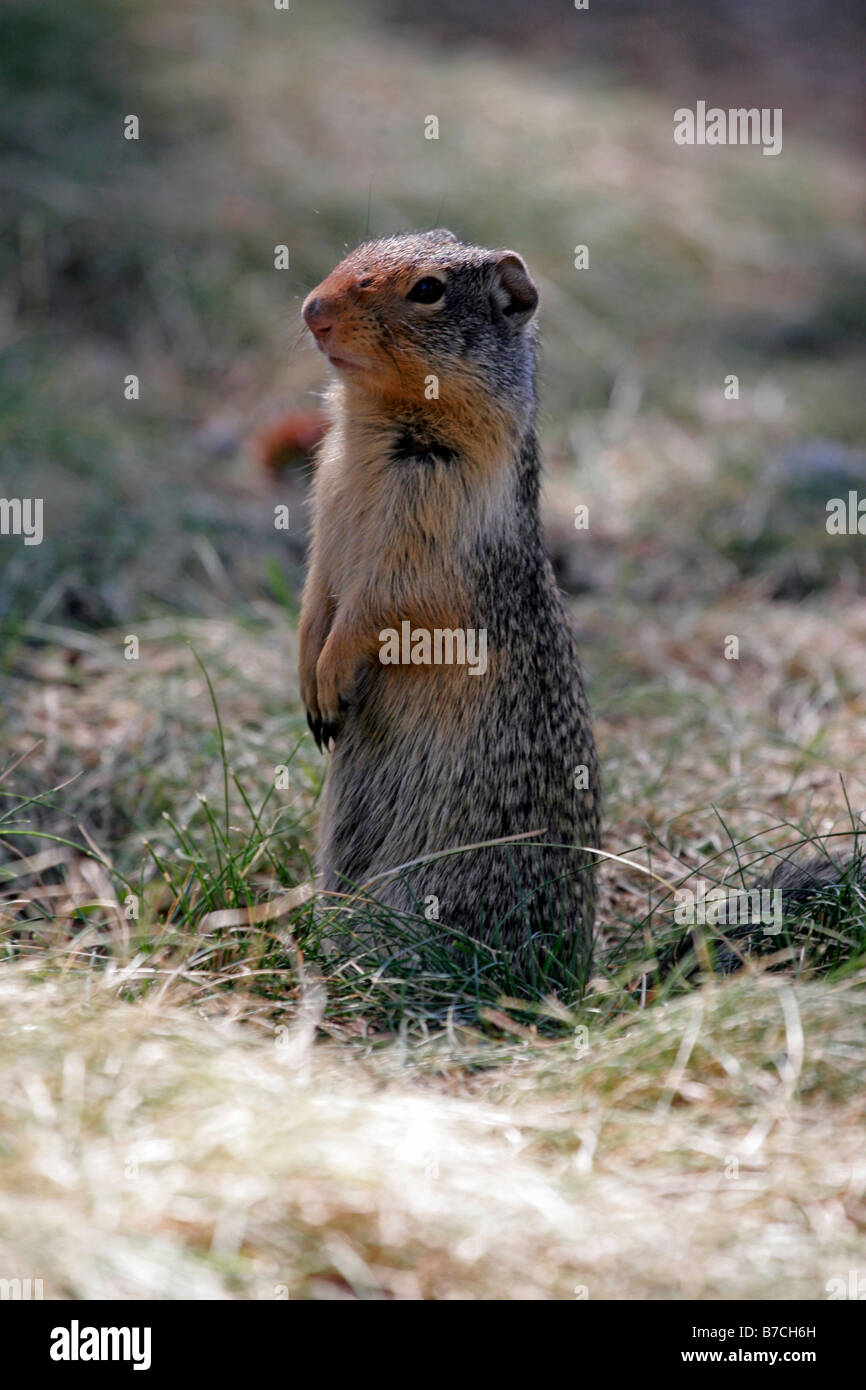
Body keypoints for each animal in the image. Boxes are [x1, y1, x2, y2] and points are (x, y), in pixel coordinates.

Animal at [298, 229, 600, 976]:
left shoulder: (426, 542)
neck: (376, 429)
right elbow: (317, 595)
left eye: (428, 290)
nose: (313, 309)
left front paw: (329, 677)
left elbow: (377, 610)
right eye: (360, 247)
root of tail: (571, 974)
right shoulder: (326, 516)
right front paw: (308, 680)